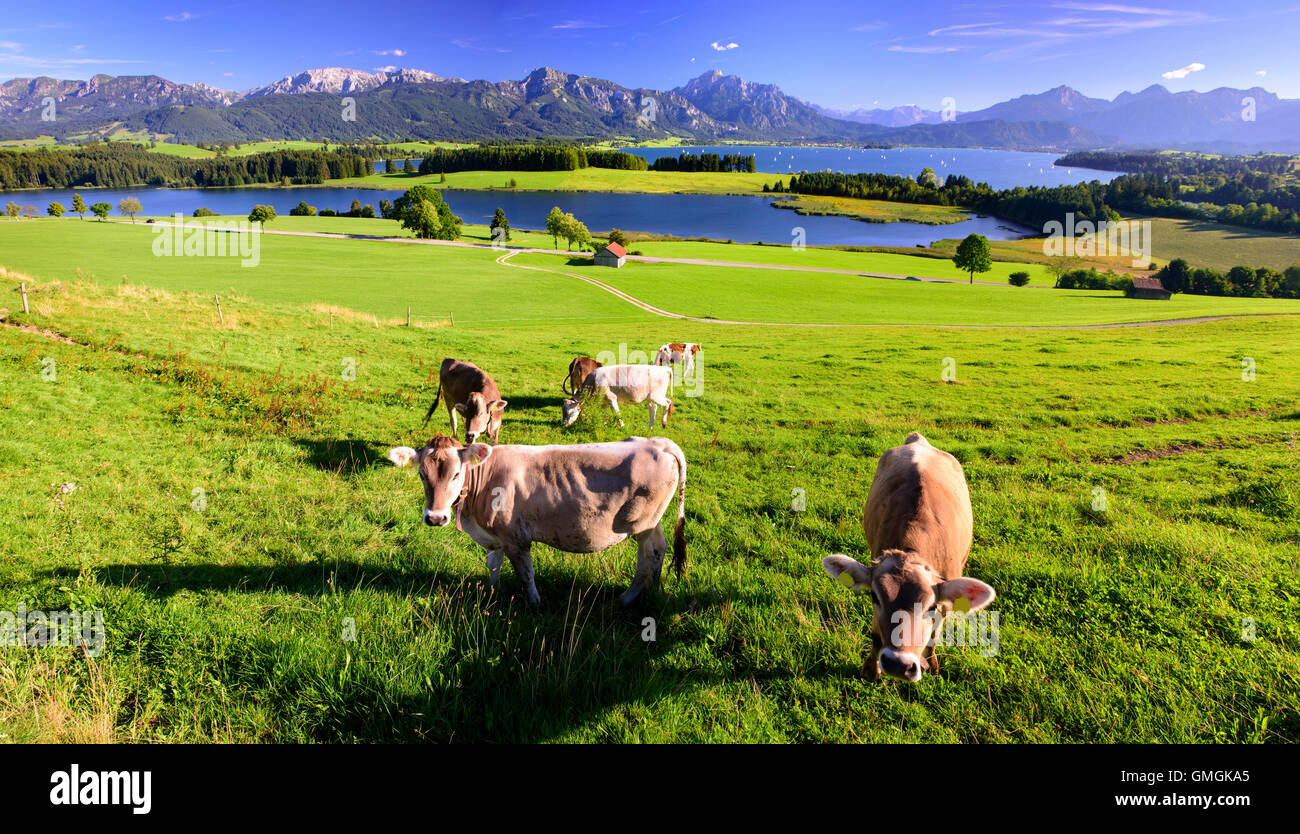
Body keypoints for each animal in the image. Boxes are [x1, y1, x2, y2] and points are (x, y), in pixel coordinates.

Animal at [387, 435, 687, 605]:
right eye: (422, 474)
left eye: (457, 474)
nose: (436, 517)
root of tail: (660, 443)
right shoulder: (496, 536)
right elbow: (493, 565)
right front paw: (492, 593)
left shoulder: (515, 537)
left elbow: (526, 573)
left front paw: (534, 603)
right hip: (653, 521)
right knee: (657, 551)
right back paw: (652, 590)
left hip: (643, 524)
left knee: (650, 552)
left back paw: (628, 598)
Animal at [821, 432, 995, 683]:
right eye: (875, 596)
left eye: (931, 607)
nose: (897, 664)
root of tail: (918, 440)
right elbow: (876, 636)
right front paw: (870, 670)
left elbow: (933, 637)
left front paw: (933, 665)